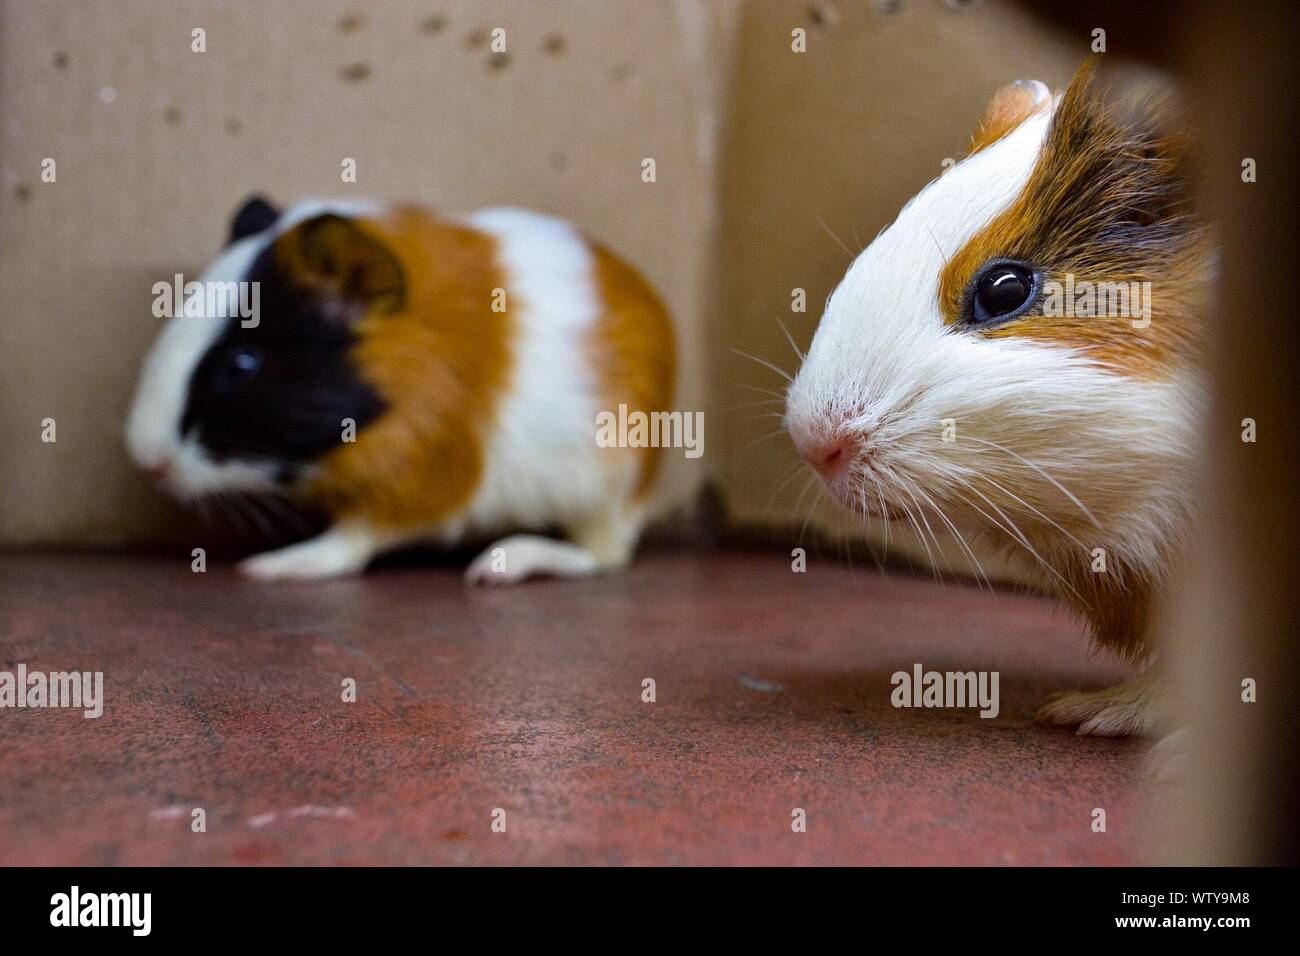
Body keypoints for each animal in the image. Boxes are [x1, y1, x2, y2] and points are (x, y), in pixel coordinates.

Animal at [126, 198, 676, 584]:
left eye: (243, 363)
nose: (146, 463)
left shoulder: (424, 476)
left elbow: (354, 537)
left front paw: (270, 568)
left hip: (603, 495)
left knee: (602, 557)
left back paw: (495, 567)